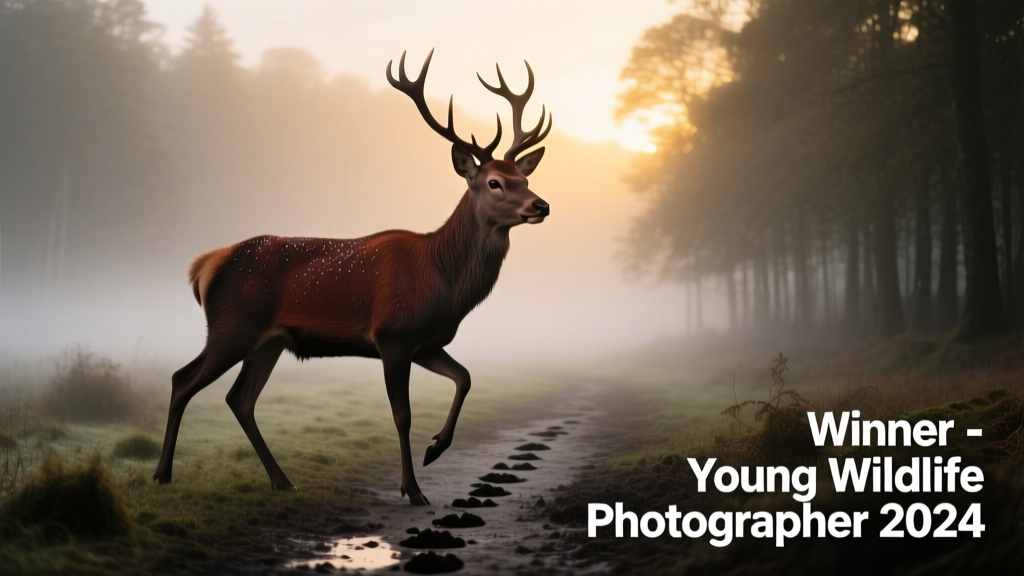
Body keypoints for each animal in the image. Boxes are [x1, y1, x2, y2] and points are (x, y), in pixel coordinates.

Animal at [152, 50, 551, 505]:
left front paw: (436, 447)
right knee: (183, 379)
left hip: (268, 341)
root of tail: (204, 266)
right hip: (232, 326)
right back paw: (162, 474)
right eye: (495, 182)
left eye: (526, 178)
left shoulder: (427, 342)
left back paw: (282, 480)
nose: (541, 205)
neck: (443, 281)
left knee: (240, 398)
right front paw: (413, 489)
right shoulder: (392, 335)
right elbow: (402, 415)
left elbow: (465, 378)